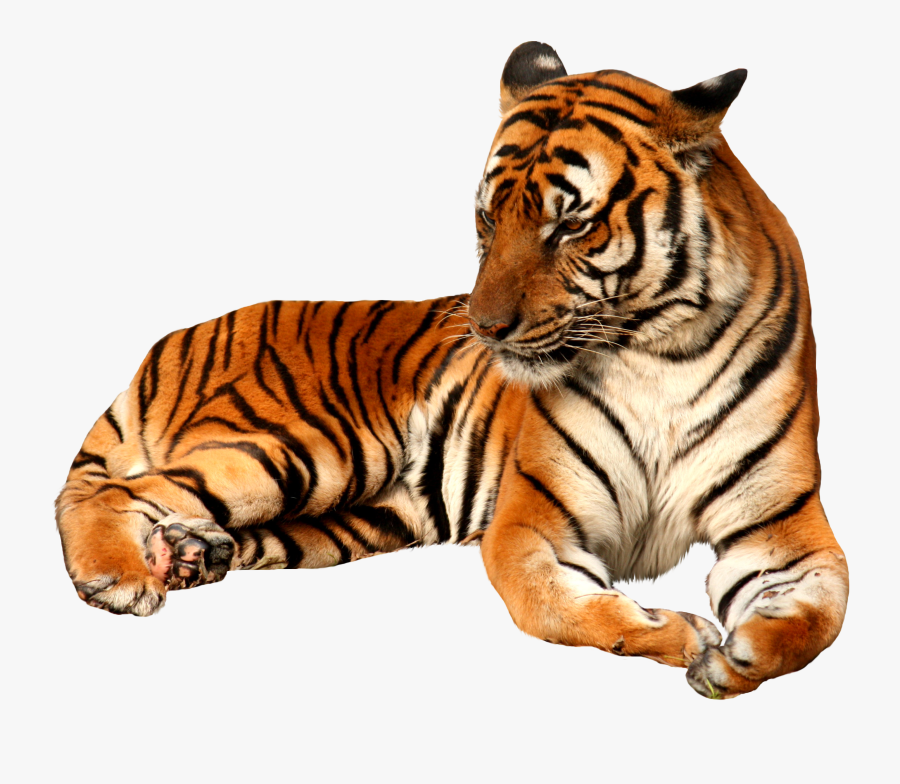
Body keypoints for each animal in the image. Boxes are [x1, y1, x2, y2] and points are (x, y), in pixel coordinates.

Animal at [56, 41, 848, 699]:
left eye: (571, 224)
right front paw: (681, 635)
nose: (484, 328)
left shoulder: (782, 524)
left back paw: (190, 553)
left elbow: (824, 616)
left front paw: (739, 658)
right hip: (306, 448)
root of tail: (174, 339)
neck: (658, 353)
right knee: (109, 492)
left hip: (353, 518)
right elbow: (554, 608)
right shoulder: (533, 520)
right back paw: (118, 578)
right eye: (489, 219)